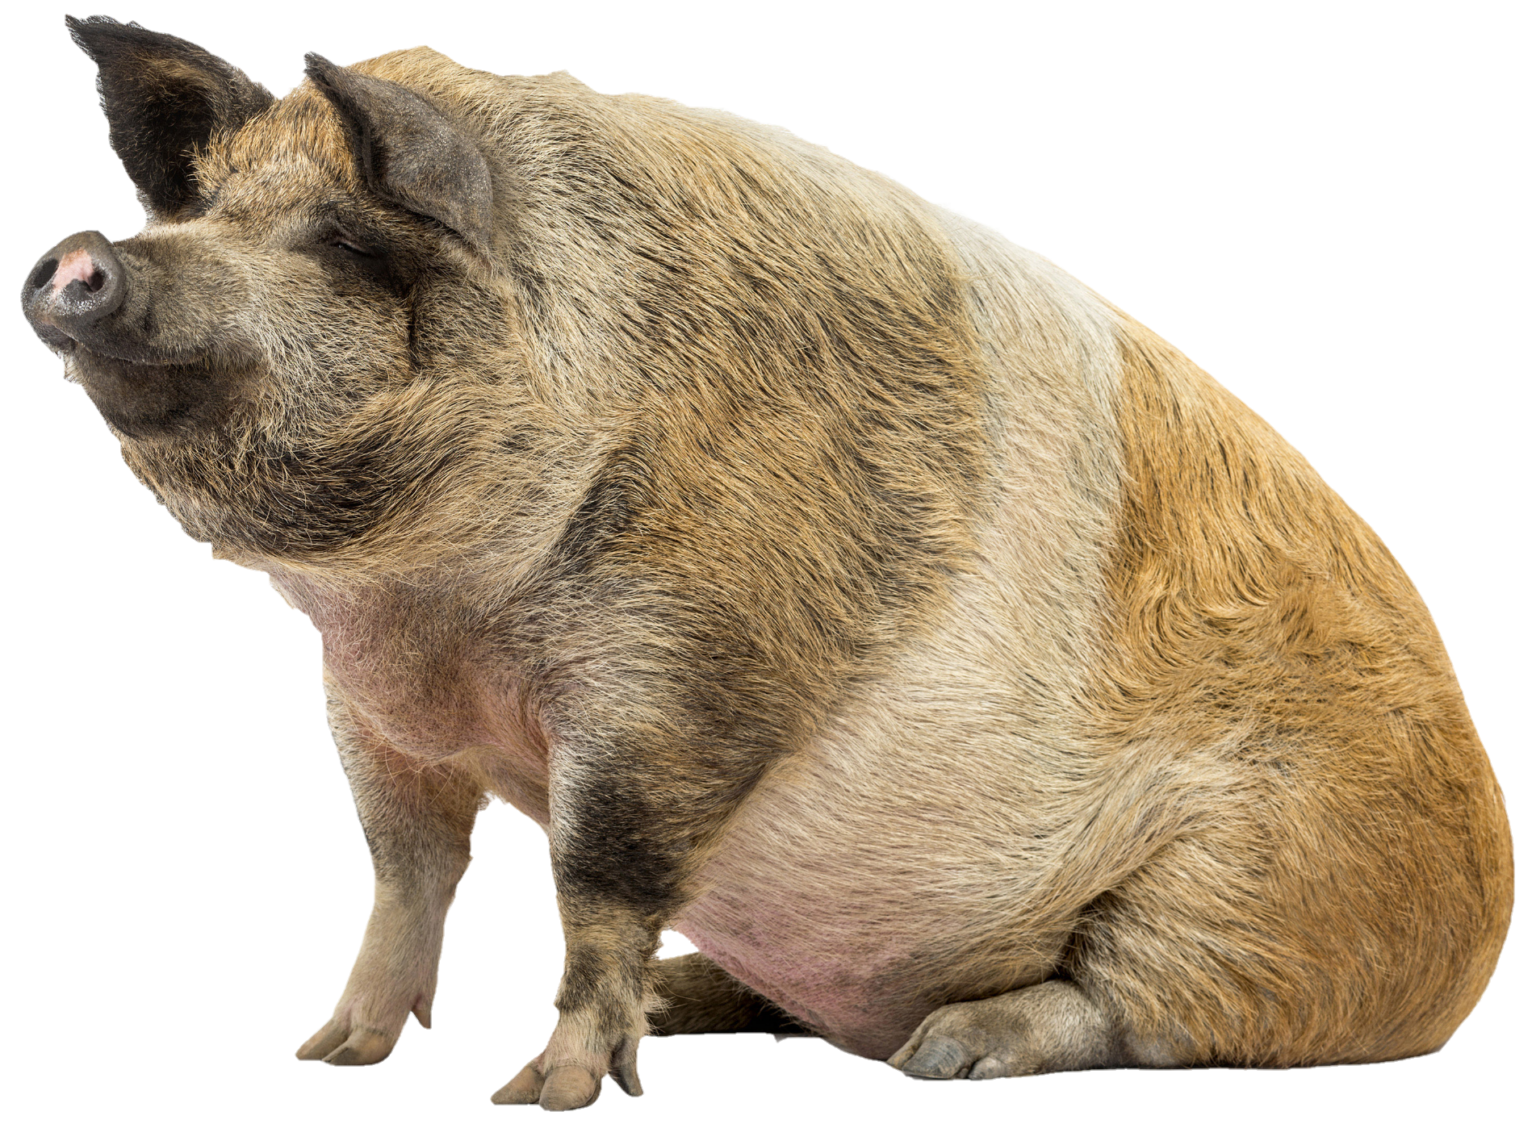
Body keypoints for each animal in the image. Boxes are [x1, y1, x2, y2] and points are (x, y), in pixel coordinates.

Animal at [21, 14, 1514, 1111]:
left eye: (341, 240)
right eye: (199, 210)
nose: (84, 254)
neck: (439, 613)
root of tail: (1485, 918)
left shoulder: (682, 674)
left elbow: (599, 878)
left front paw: (545, 1092)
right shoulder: (369, 703)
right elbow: (404, 871)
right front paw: (331, 1054)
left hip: (1254, 888)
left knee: (1131, 1003)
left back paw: (943, 1053)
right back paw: (696, 1001)